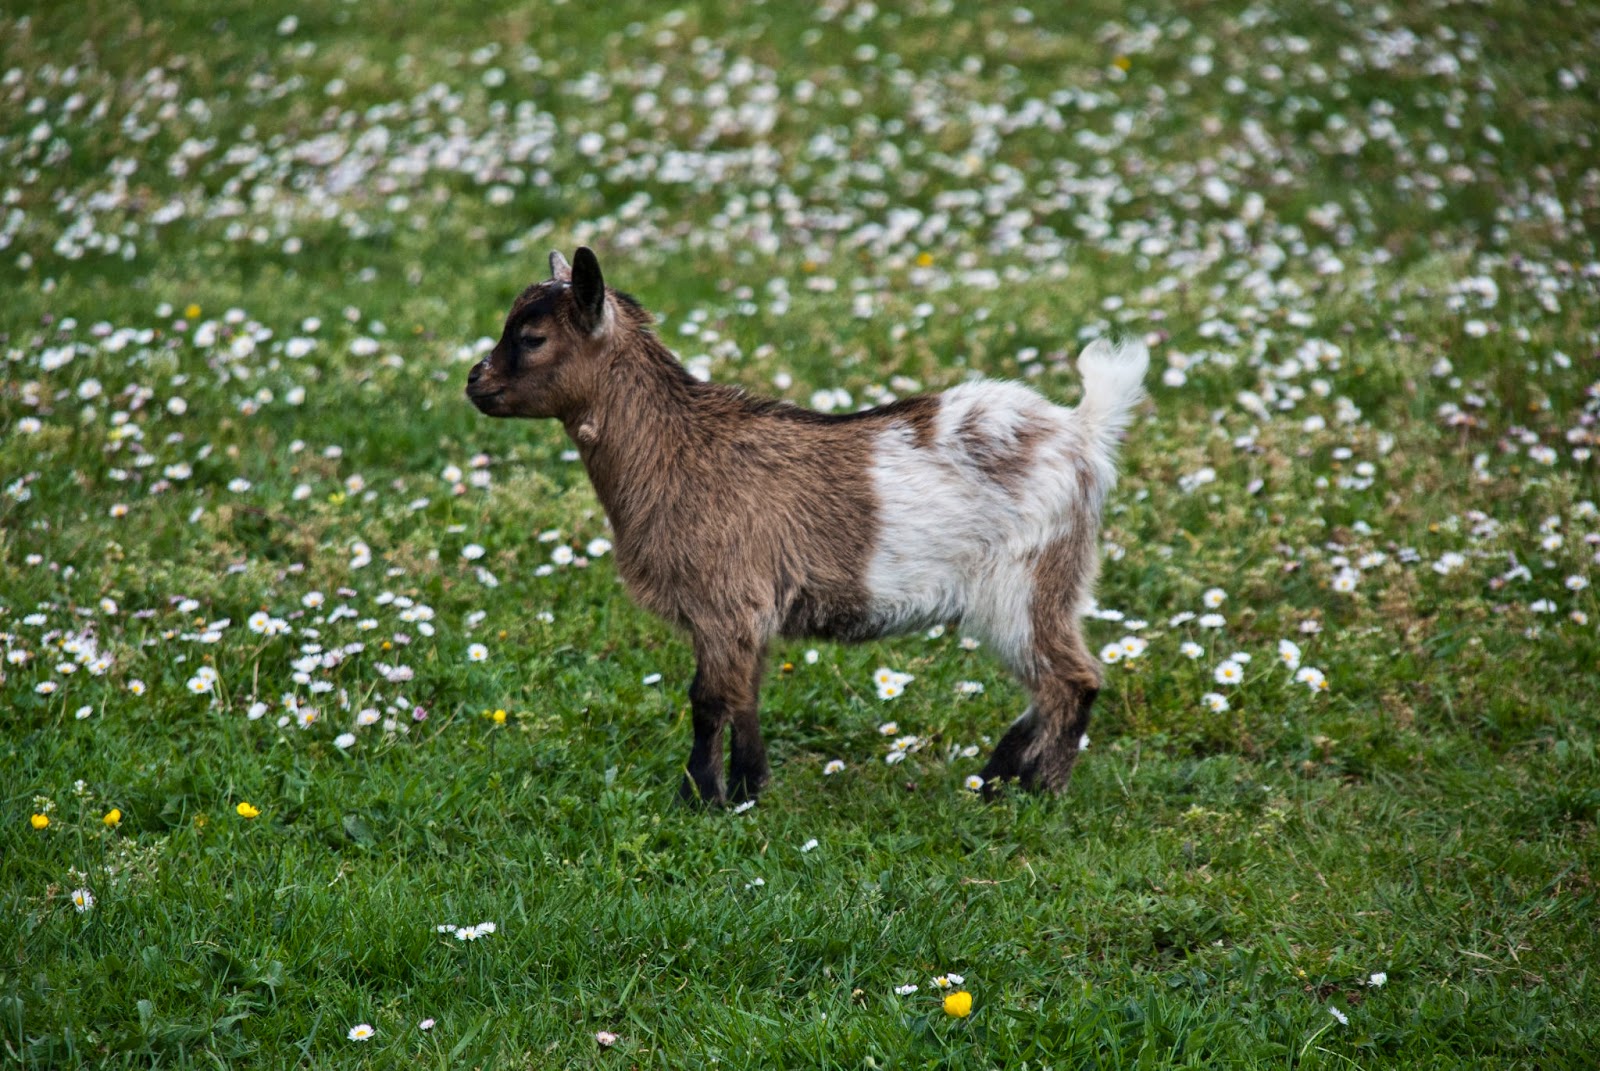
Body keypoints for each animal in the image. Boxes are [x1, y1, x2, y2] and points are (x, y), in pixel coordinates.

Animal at [466, 247, 1148, 804]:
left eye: (530, 337)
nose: (475, 383)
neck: (680, 449)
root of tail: (1083, 431)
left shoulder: (723, 600)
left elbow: (708, 700)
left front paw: (698, 799)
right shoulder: (748, 612)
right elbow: (745, 695)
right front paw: (748, 789)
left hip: (1026, 580)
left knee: (1071, 681)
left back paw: (1034, 792)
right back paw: (994, 778)